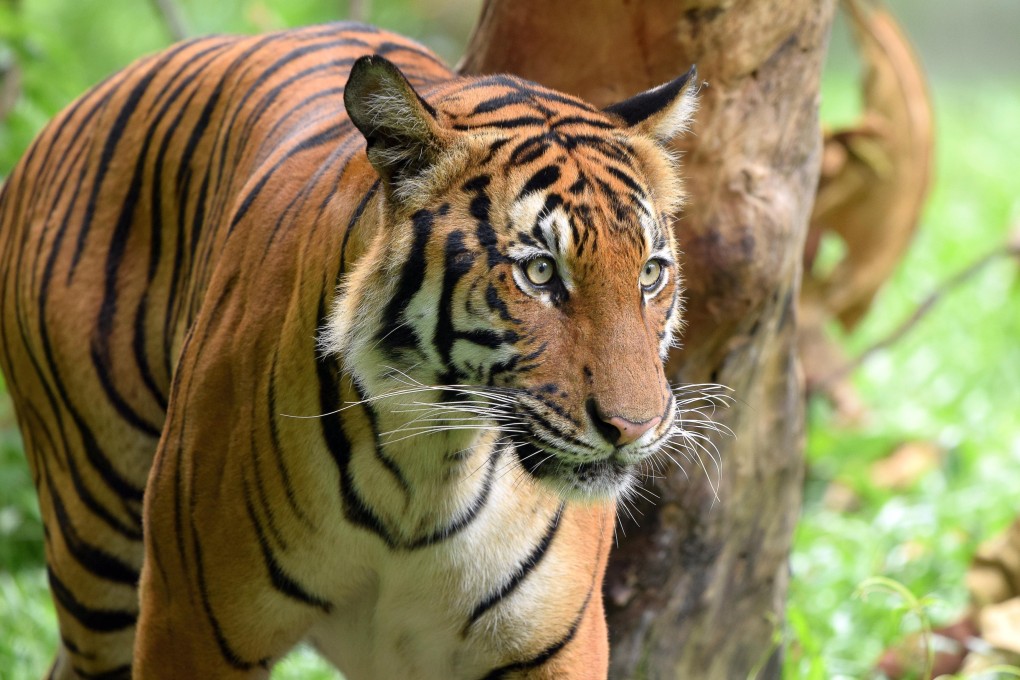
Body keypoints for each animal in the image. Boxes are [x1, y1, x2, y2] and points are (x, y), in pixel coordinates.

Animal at [0, 21, 703, 680]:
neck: (431, 466)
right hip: (95, 540)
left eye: (649, 273)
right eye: (539, 272)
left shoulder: (556, 642)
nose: (633, 429)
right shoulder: (188, 622)